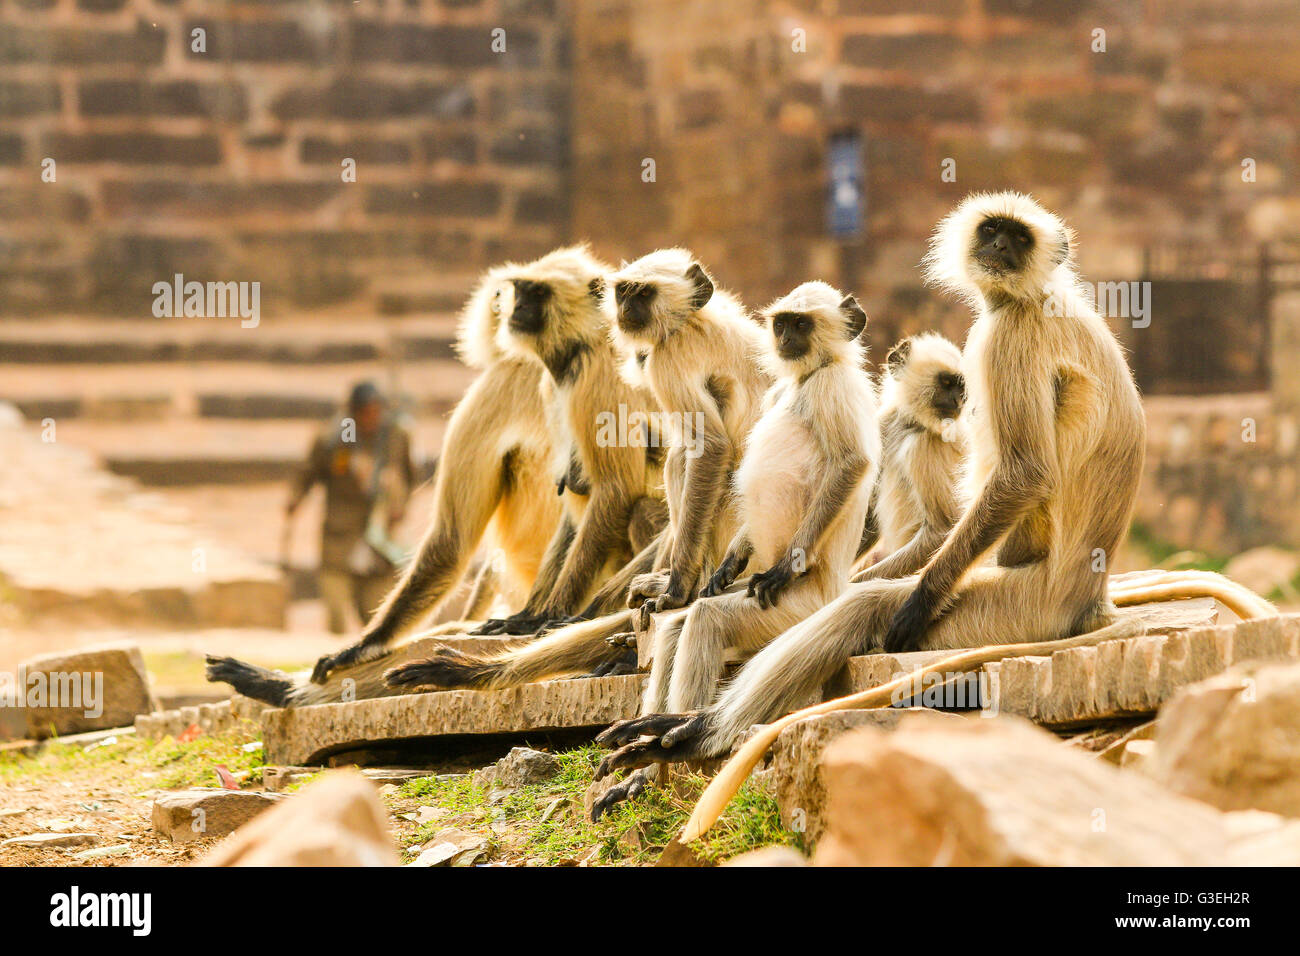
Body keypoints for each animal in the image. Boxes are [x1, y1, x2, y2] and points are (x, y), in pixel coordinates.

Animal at [382, 249, 773, 692]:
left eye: (536, 293)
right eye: (624, 292)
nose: (512, 308)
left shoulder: (632, 367)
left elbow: (693, 453)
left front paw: (671, 592)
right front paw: (530, 617)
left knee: (675, 464)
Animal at [590, 281, 880, 818]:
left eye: (802, 324)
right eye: (782, 323)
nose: (785, 338)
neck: (807, 378)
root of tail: (836, 587)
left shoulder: (835, 388)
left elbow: (851, 464)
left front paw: (781, 569)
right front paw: (727, 565)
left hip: (795, 609)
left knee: (706, 619)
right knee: (684, 624)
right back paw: (645, 766)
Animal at [851, 333, 968, 582]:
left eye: (961, 388)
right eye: (946, 383)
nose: (958, 402)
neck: (912, 425)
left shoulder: (921, 447)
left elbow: (942, 531)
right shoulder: (884, 426)